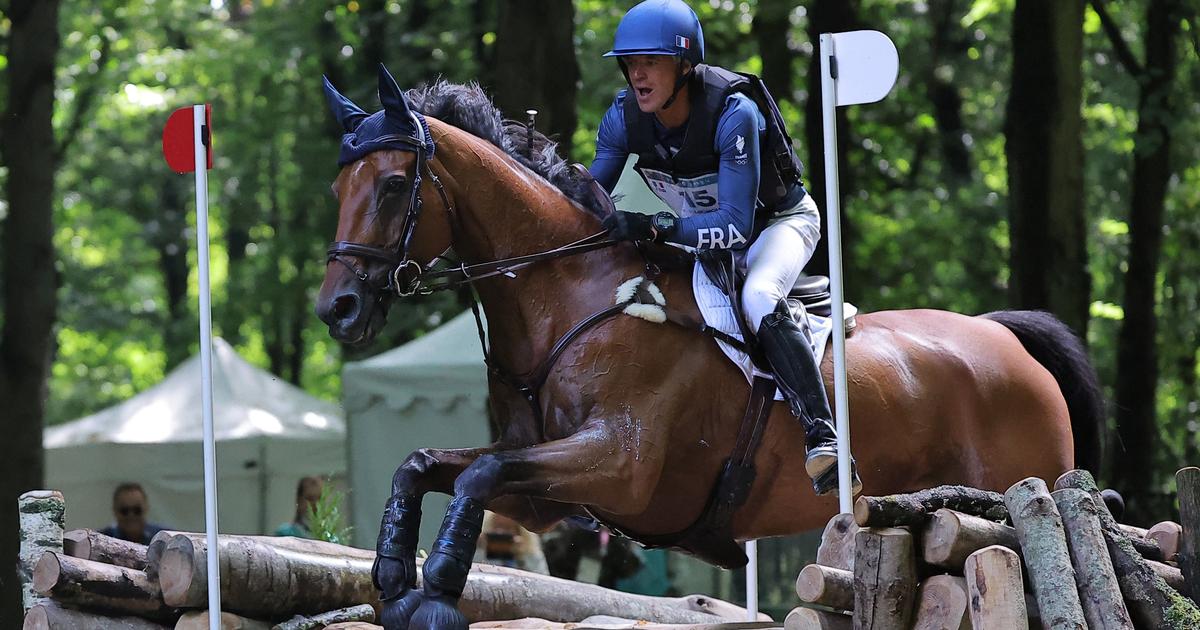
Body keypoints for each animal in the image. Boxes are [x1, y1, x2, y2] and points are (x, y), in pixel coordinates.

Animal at [315, 67, 1103, 630]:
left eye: (393, 184)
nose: (337, 309)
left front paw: (436, 595)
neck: (571, 296)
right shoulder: (543, 494)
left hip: (1020, 491)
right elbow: (426, 466)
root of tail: (1004, 335)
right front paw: (394, 581)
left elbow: (476, 478)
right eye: (337, 185)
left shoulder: (618, 467)